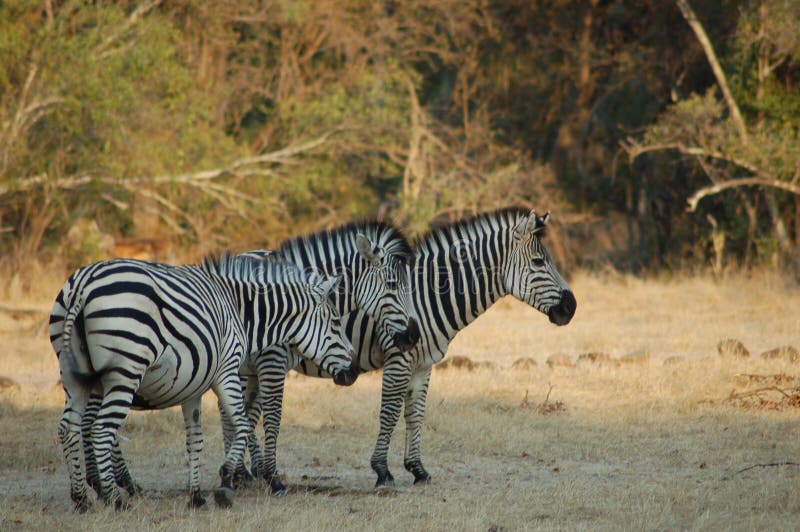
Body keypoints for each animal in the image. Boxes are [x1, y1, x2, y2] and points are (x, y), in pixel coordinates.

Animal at [52, 252, 354, 511]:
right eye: (335, 323)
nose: (352, 373)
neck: (241, 312)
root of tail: (82, 284)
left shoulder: (192, 385)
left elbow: (196, 439)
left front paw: (196, 496)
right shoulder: (228, 369)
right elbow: (242, 424)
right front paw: (227, 481)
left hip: (75, 377)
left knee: (69, 429)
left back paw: (82, 499)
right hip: (124, 371)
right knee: (101, 430)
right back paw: (115, 498)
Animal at [252, 207, 577, 488]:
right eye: (539, 262)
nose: (571, 307)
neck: (428, 295)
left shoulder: (424, 363)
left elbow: (415, 413)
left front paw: (417, 469)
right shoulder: (399, 357)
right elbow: (390, 411)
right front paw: (382, 471)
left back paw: (250, 472)